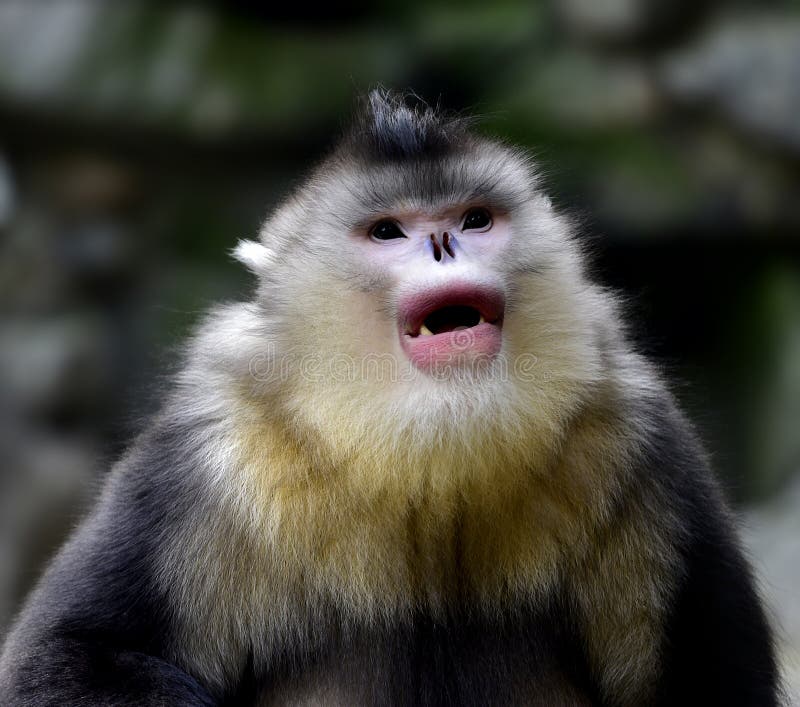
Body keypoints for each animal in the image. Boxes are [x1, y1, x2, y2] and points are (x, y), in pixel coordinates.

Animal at [0, 89, 781, 706]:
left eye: (474, 221)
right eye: (387, 231)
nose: (442, 245)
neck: (434, 450)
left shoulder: (635, 434)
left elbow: (713, 678)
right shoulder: (213, 445)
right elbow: (63, 656)